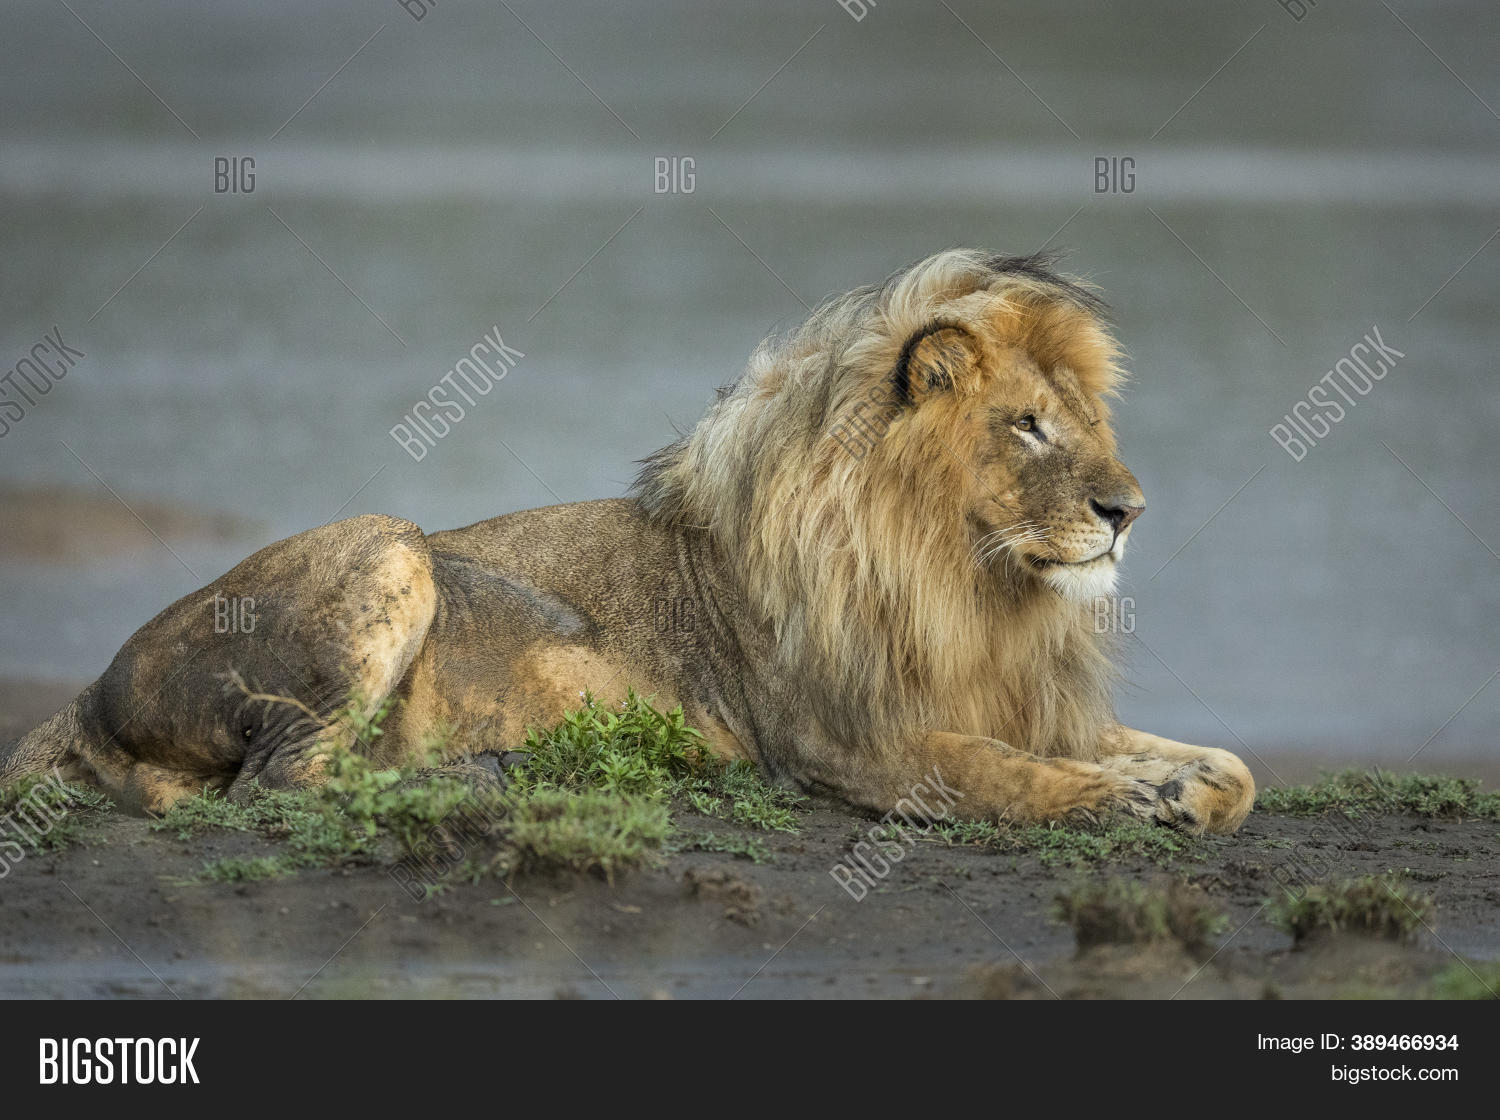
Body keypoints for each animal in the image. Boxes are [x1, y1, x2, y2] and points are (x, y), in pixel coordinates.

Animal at [1, 249, 1254, 833]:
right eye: (1029, 425)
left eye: (1091, 419)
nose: (1129, 510)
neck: (971, 586)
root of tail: (85, 697)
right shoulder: (845, 744)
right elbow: (1001, 771)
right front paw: (1118, 802)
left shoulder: (1021, 701)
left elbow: (1226, 768)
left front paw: (1178, 785)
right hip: (389, 544)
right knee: (283, 781)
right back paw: (482, 776)